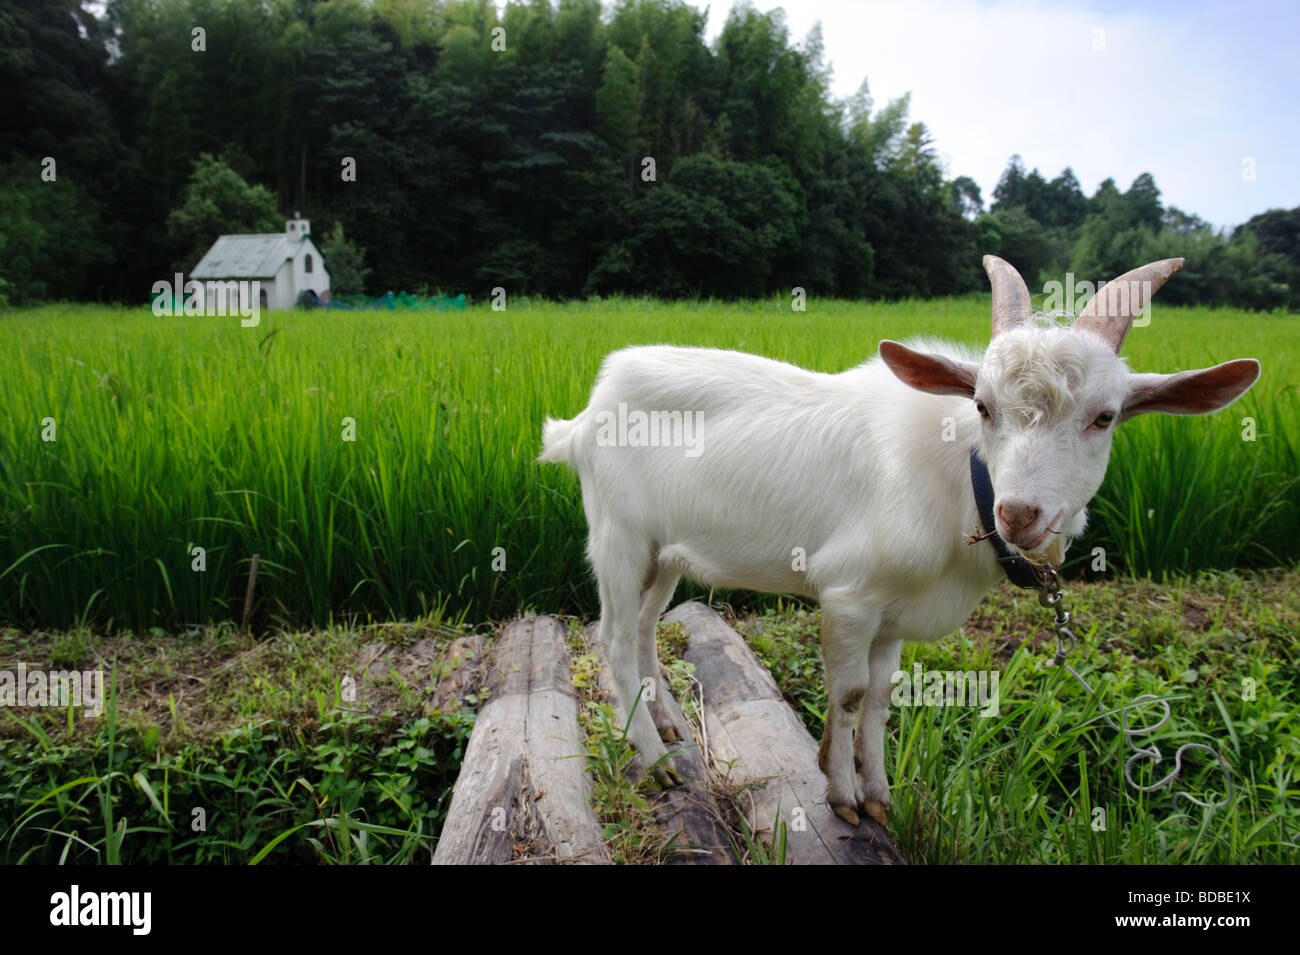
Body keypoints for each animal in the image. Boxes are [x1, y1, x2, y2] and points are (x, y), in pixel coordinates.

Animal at [538, 256, 1260, 827]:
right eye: (983, 406)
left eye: (1104, 417)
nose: (1019, 514)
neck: (960, 485)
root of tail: (585, 414)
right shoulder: (849, 596)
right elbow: (851, 695)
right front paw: (842, 794)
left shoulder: (893, 615)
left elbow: (884, 699)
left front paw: (879, 792)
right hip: (619, 535)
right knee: (612, 634)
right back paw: (655, 758)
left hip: (665, 550)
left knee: (644, 624)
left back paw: (663, 722)